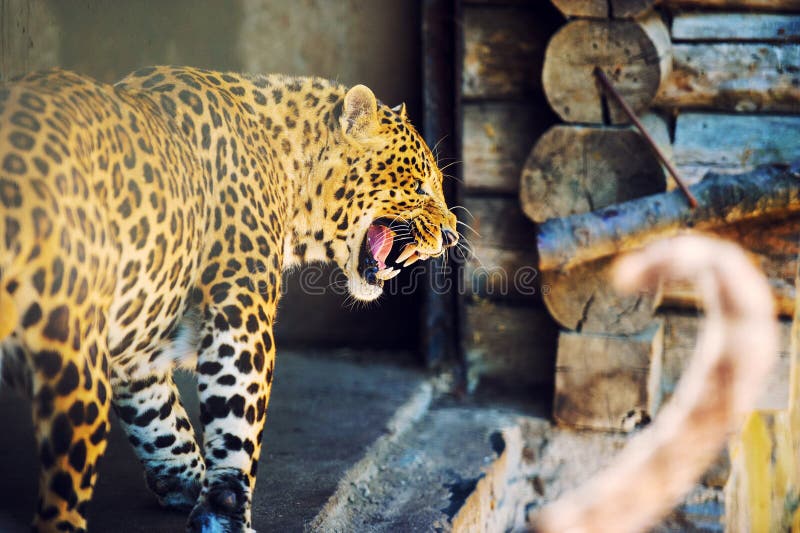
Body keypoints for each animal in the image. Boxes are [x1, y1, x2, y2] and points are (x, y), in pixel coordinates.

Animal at [0, 65, 458, 532]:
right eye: (420, 186)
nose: (452, 235)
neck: (290, 170)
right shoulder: (240, 314)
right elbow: (235, 420)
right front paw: (225, 510)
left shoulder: (139, 334)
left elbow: (160, 416)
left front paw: (187, 482)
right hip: (73, 365)